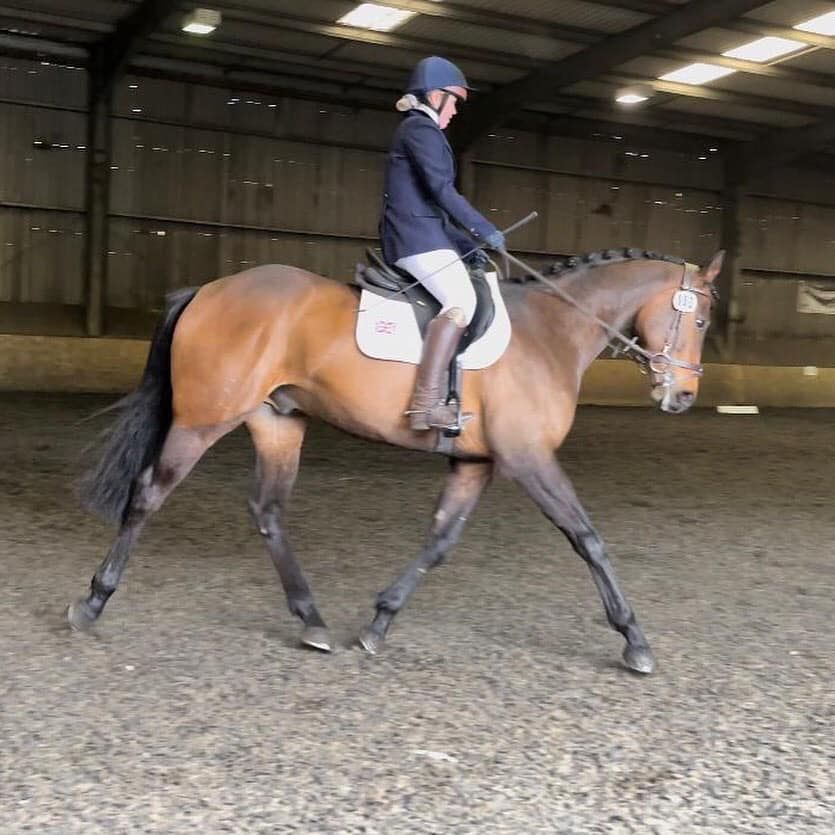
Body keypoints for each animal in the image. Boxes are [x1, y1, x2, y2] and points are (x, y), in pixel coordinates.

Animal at [68, 247, 724, 674]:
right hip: (205, 418)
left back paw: (312, 621)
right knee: (149, 494)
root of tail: (206, 290)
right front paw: (634, 640)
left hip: (276, 421)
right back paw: (92, 603)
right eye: (699, 318)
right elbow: (587, 538)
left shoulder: (477, 462)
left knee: (268, 511)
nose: (683, 397)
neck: (553, 331)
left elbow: (439, 541)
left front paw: (379, 623)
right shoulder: (529, 457)